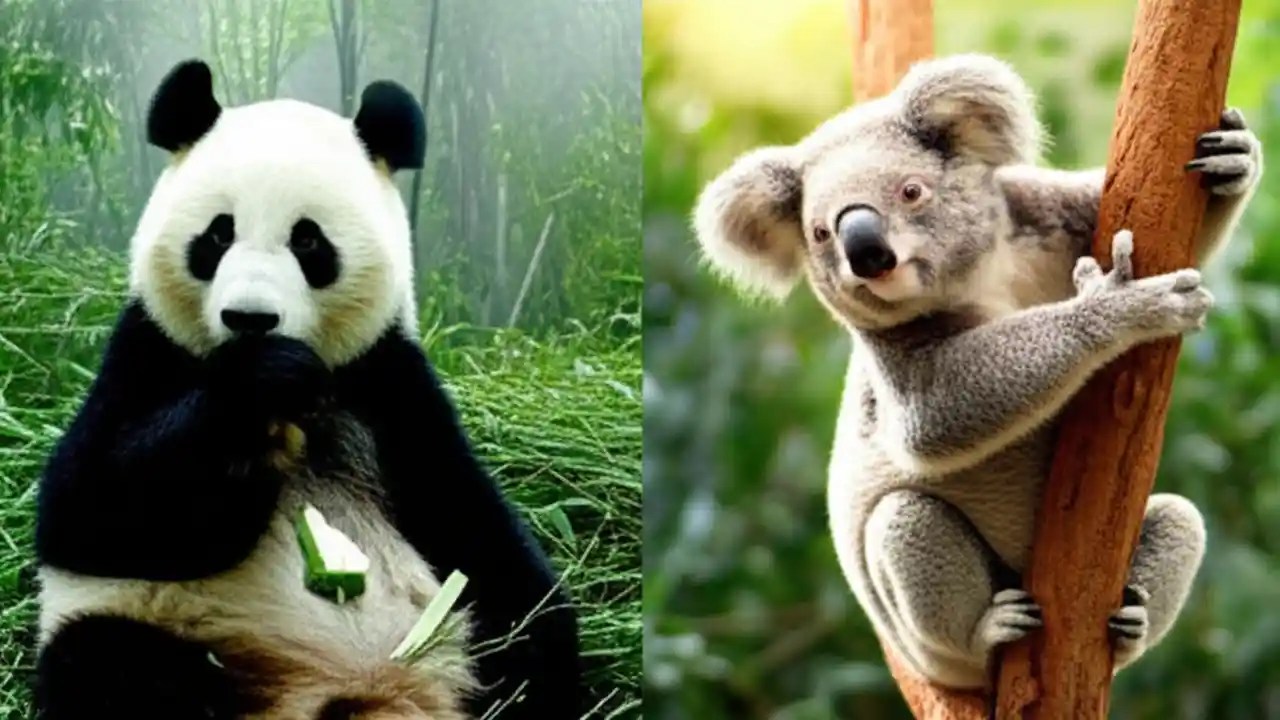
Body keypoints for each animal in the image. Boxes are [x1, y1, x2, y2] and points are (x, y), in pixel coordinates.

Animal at [31, 59, 581, 720]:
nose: (249, 318)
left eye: (308, 241)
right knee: (110, 663)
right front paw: (257, 395)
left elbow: (477, 530)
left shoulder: (389, 383)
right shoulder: (147, 351)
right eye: (218, 236)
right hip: (182, 635)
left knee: (527, 632)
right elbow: (87, 507)